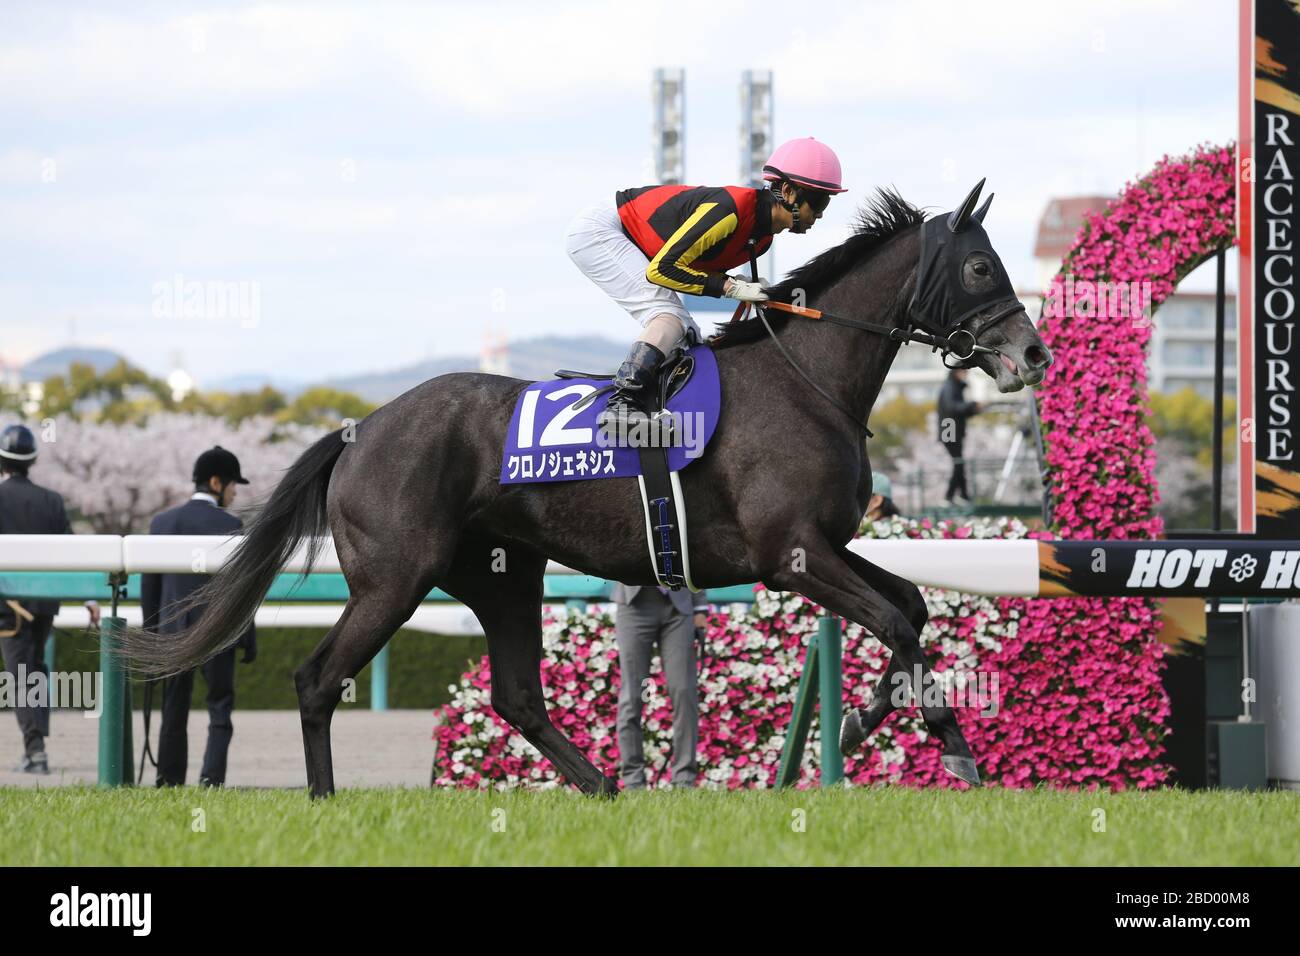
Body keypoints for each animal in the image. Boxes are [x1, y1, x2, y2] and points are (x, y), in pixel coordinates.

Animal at [119, 181, 1053, 797]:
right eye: (980, 267)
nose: (1034, 353)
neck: (807, 380)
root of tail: (361, 429)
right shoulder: (790, 554)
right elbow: (895, 619)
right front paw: (953, 745)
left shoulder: (827, 544)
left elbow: (913, 609)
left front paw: (866, 720)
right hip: (394, 579)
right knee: (318, 680)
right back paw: (324, 800)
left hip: (503, 573)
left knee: (517, 693)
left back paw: (605, 789)